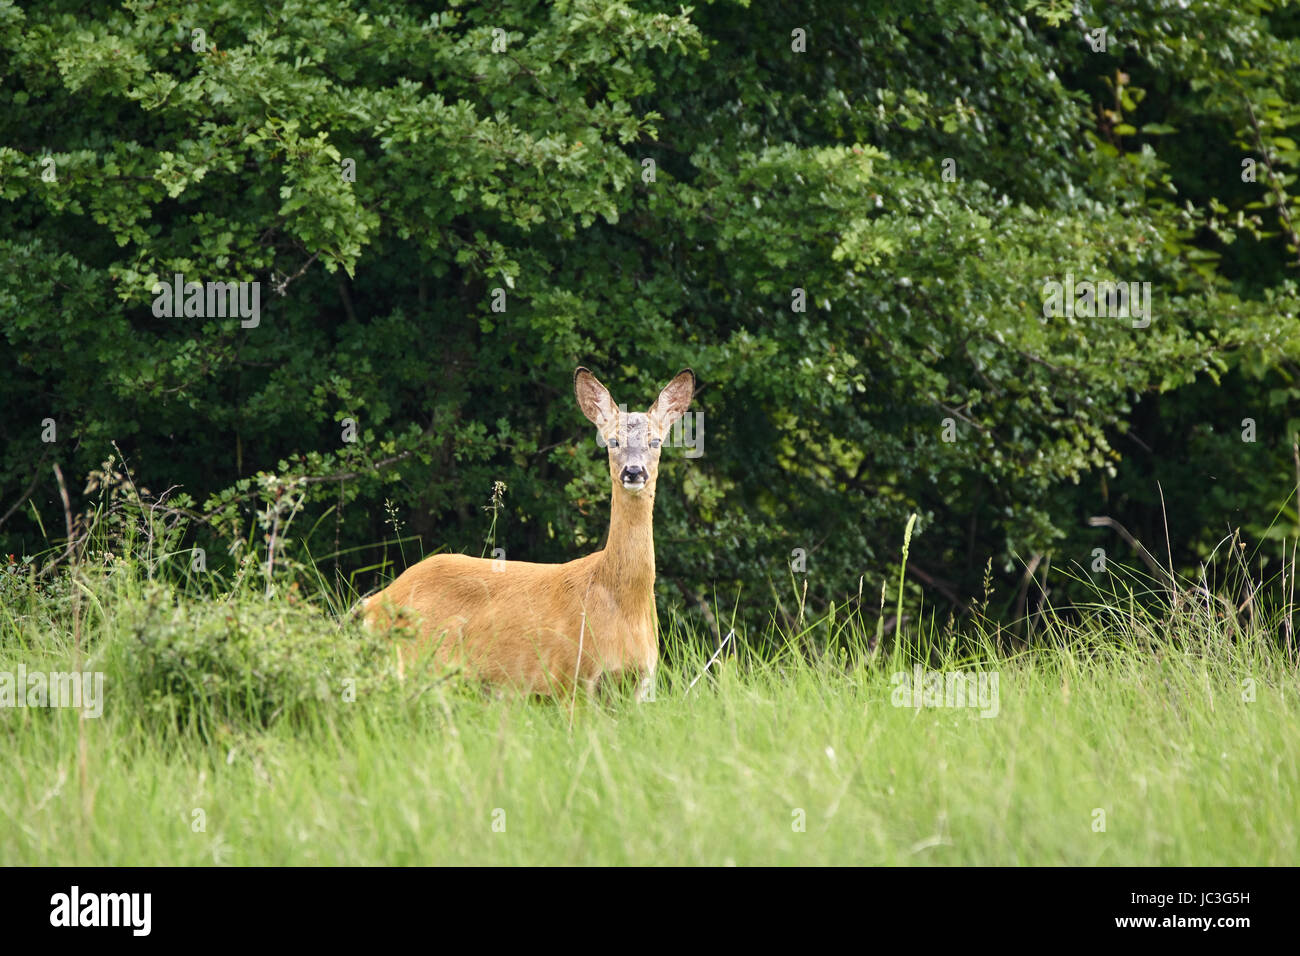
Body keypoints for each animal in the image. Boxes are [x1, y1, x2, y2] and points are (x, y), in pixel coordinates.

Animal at [362, 367, 696, 702]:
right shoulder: (570, 678)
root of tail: (375, 603)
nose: (634, 471)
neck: (622, 604)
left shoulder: (639, 686)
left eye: (656, 441)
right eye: (613, 440)